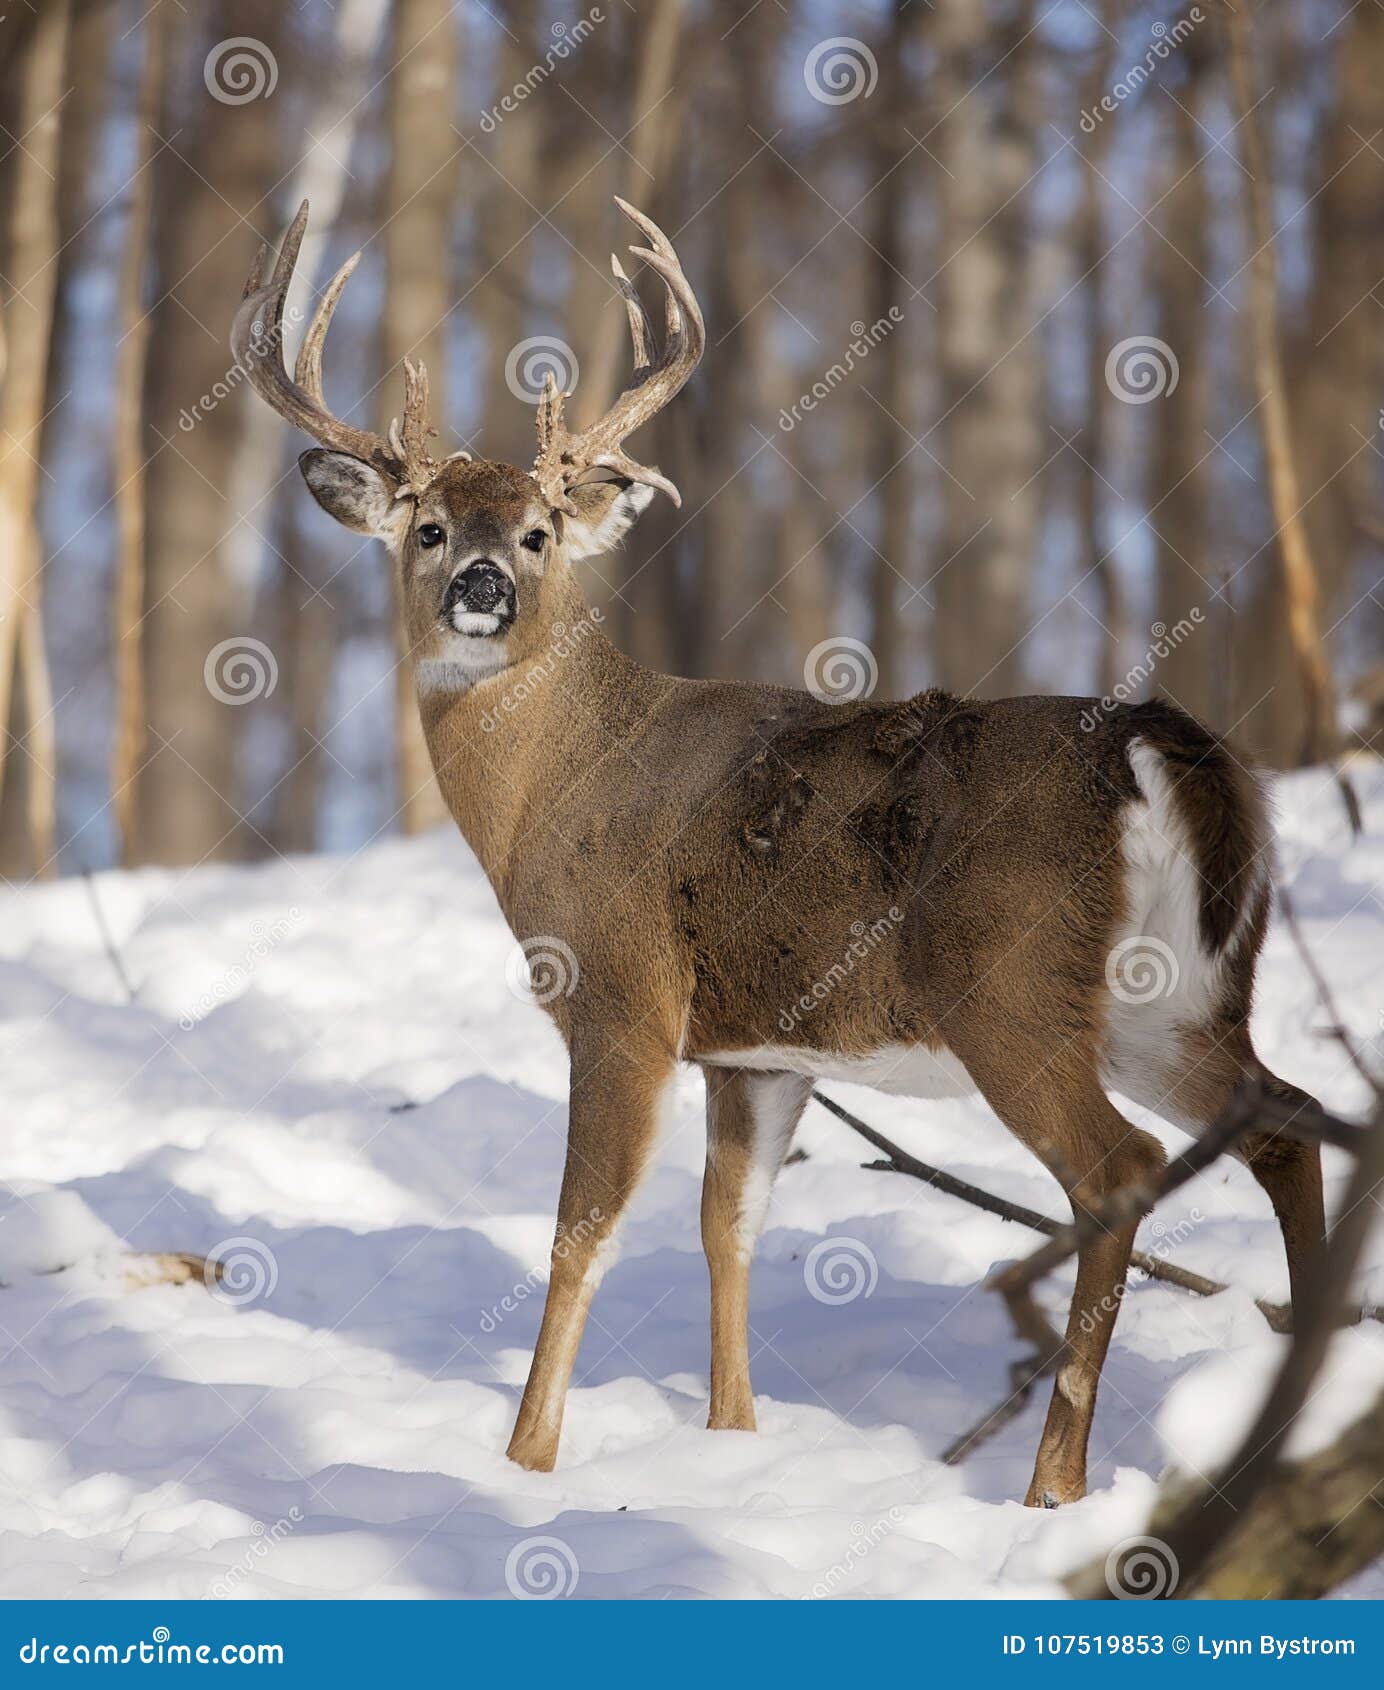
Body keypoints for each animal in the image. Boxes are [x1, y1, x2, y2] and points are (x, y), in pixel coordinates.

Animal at [233, 199, 1325, 1507]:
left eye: (539, 532)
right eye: (431, 529)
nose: (483, 583)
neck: (559, 783)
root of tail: (1159, 742)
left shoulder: (625, 995)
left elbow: (581, 1229)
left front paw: (525, 1457)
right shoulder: (755, 1049)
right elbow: (729, 1225)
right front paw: (732, 1437)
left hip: (1010, 985)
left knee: (1122, 1166)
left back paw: (1052, 1484)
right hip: (1177, 1000)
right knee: (1288, 1116)